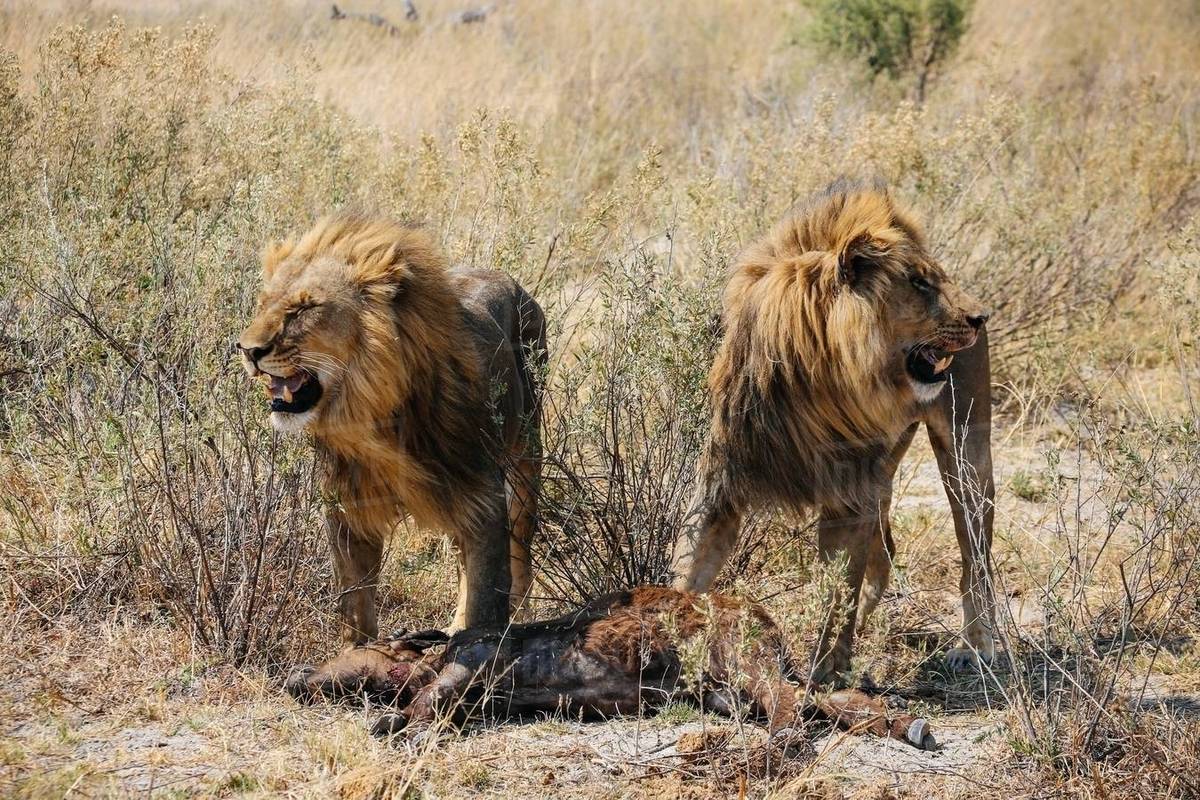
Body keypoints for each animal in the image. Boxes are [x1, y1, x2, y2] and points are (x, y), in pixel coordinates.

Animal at [237, 213, 546, 644]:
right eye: (264, 304)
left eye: (305, 308)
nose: (247, 350)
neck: (376, 413)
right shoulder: (348, 508)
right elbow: (355, 607)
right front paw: (356, 656)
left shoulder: (481, 498)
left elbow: (485, 605)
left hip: (525, 457)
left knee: (520, 544)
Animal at [670, 180, 995, 680]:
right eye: (918, 282)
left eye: (935, 278)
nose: (981, 318)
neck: (813, 380)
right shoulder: (722, 481)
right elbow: (689, 570)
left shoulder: (849, 491)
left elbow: (835, 589)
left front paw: (825, 673)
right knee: (886, 548)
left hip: (964, 454)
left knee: (974, 558)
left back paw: (974, 646)